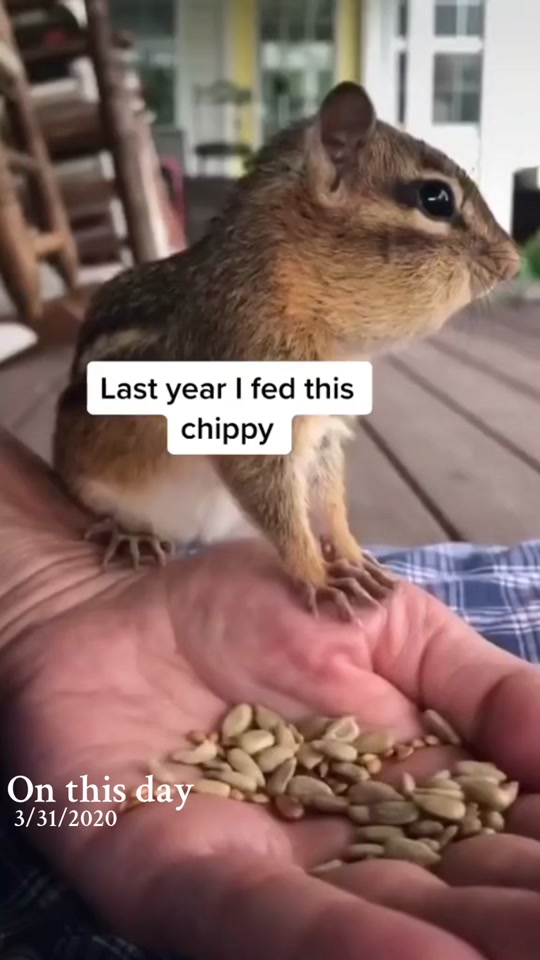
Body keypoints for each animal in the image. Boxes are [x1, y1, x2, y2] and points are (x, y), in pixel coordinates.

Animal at [52, 82, 520, 620]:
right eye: (436, 198)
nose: (514, 263)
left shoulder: (326, 430)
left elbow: (329, 501)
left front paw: (352, 555)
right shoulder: (249, 418)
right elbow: (277, 506)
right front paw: (318, 576)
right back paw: (128, 533)